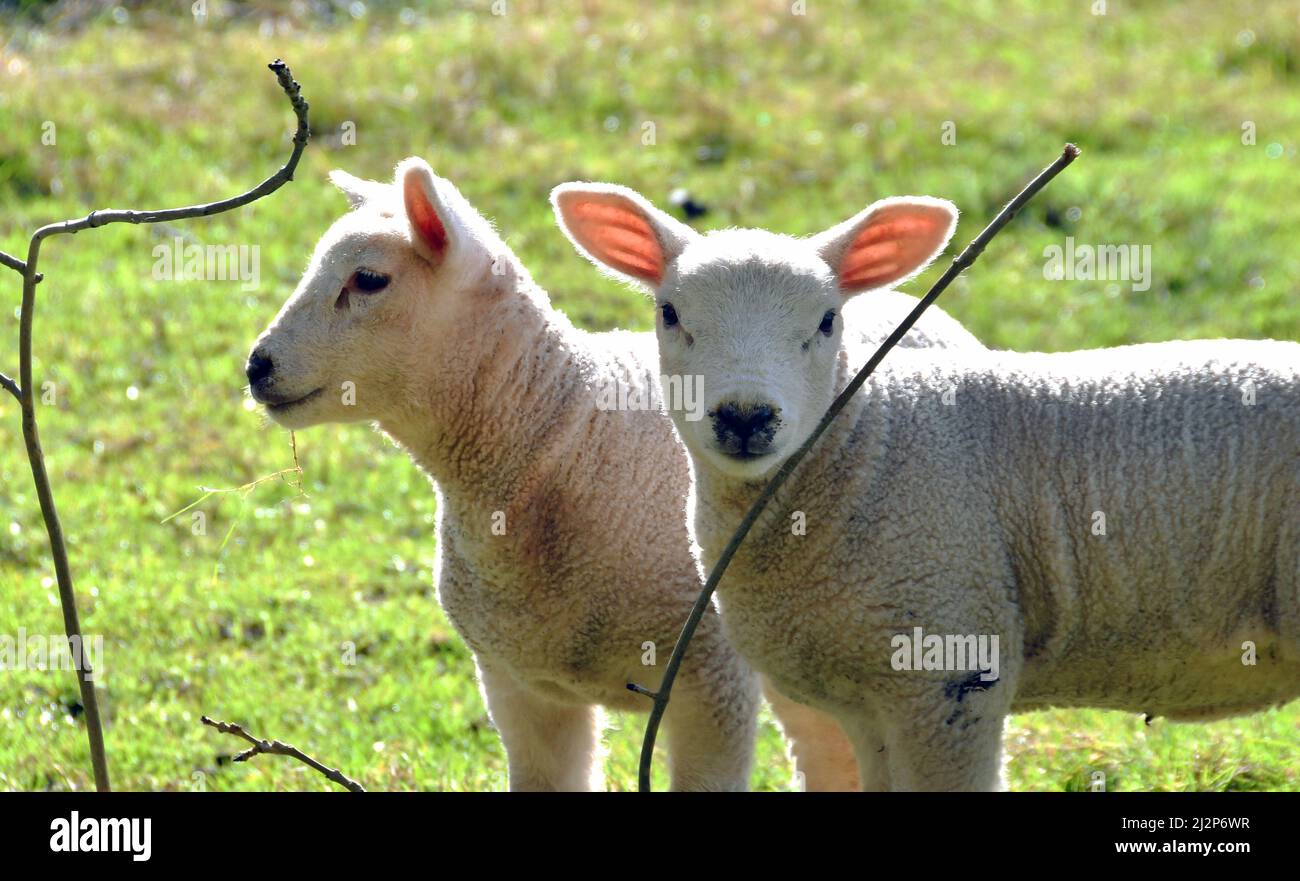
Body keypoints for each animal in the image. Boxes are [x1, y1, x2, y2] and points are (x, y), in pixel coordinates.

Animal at [552, 181, 1300, 791]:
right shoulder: (868, 698)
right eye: (670, 313)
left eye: (828, 321)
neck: (865, 447)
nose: (744, 416)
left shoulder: (949, 670)